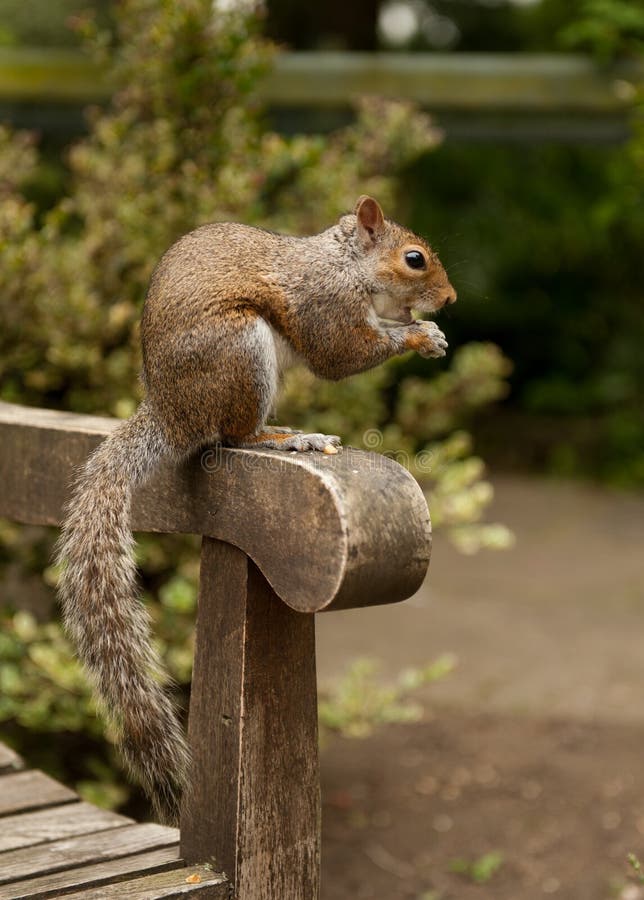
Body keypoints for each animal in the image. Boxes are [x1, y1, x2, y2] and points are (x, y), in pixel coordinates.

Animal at [56, 195, 456, 825]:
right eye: (414, 259)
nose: (451, 300)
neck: (346, 267)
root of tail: (170, 414)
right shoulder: (323, 306)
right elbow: (342, 355)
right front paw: (415, 335)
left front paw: (430, 332)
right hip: (239, 354)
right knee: (233, 436)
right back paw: (284, 438)